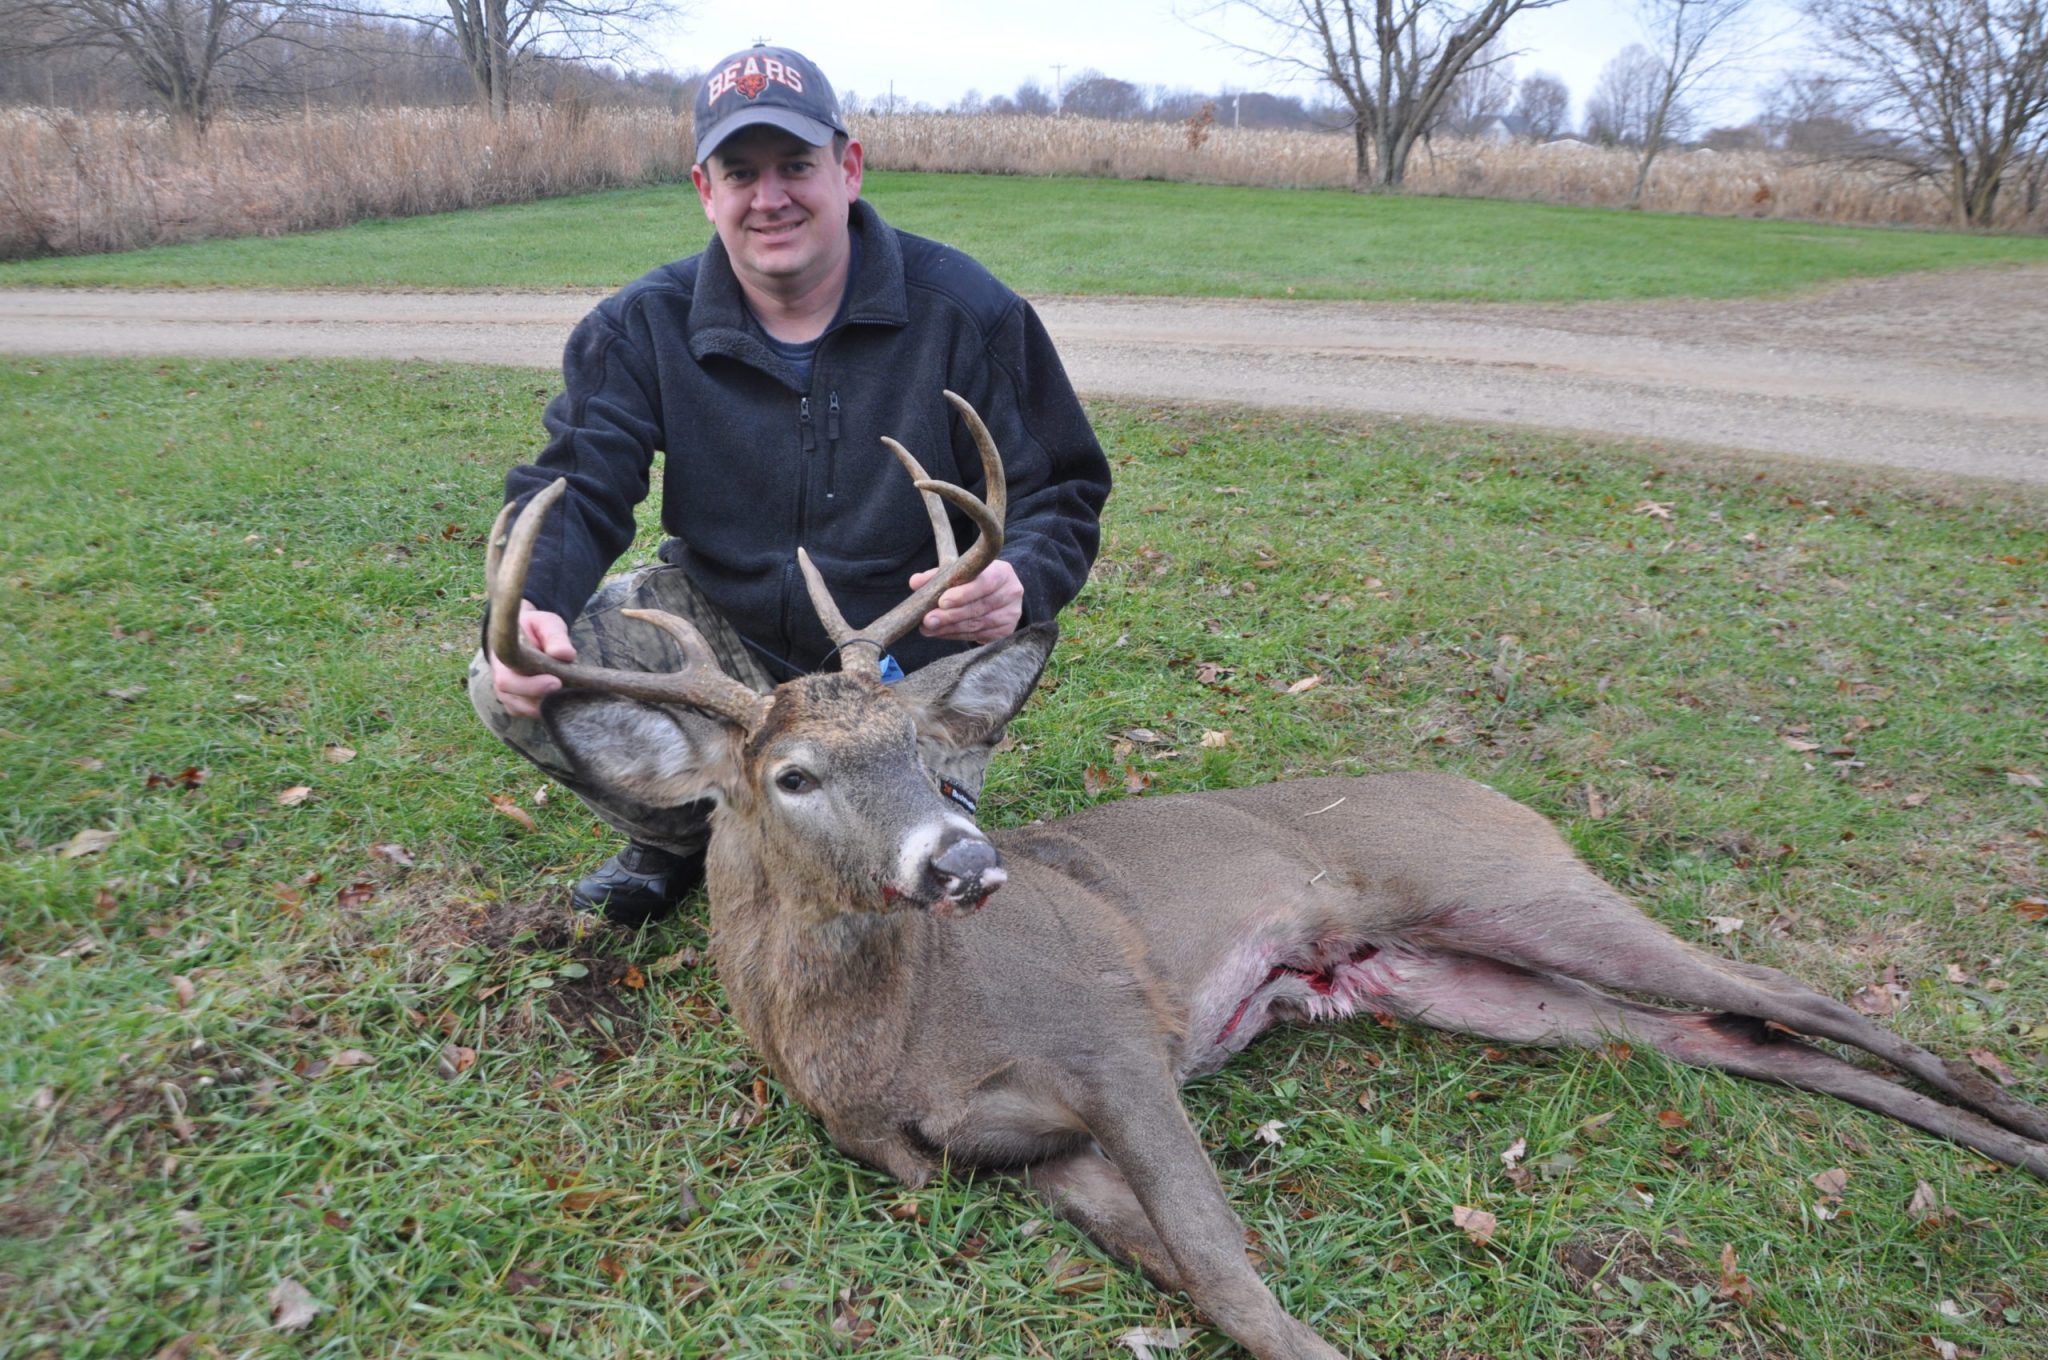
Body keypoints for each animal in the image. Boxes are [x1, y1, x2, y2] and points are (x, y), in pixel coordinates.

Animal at [485, 393, 2048, 1360]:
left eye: (930, 749)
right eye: (796, 777)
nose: (969, 857)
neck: (878, 1048)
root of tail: (1501, 794)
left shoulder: (1113, 1039)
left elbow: (1237, 1285)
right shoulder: (1024, 1160)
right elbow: (1202, 1283)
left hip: (1520, 892)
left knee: (1803, 998)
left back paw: (2019, 1129)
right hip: (1458, 979)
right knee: (1733, 1034)